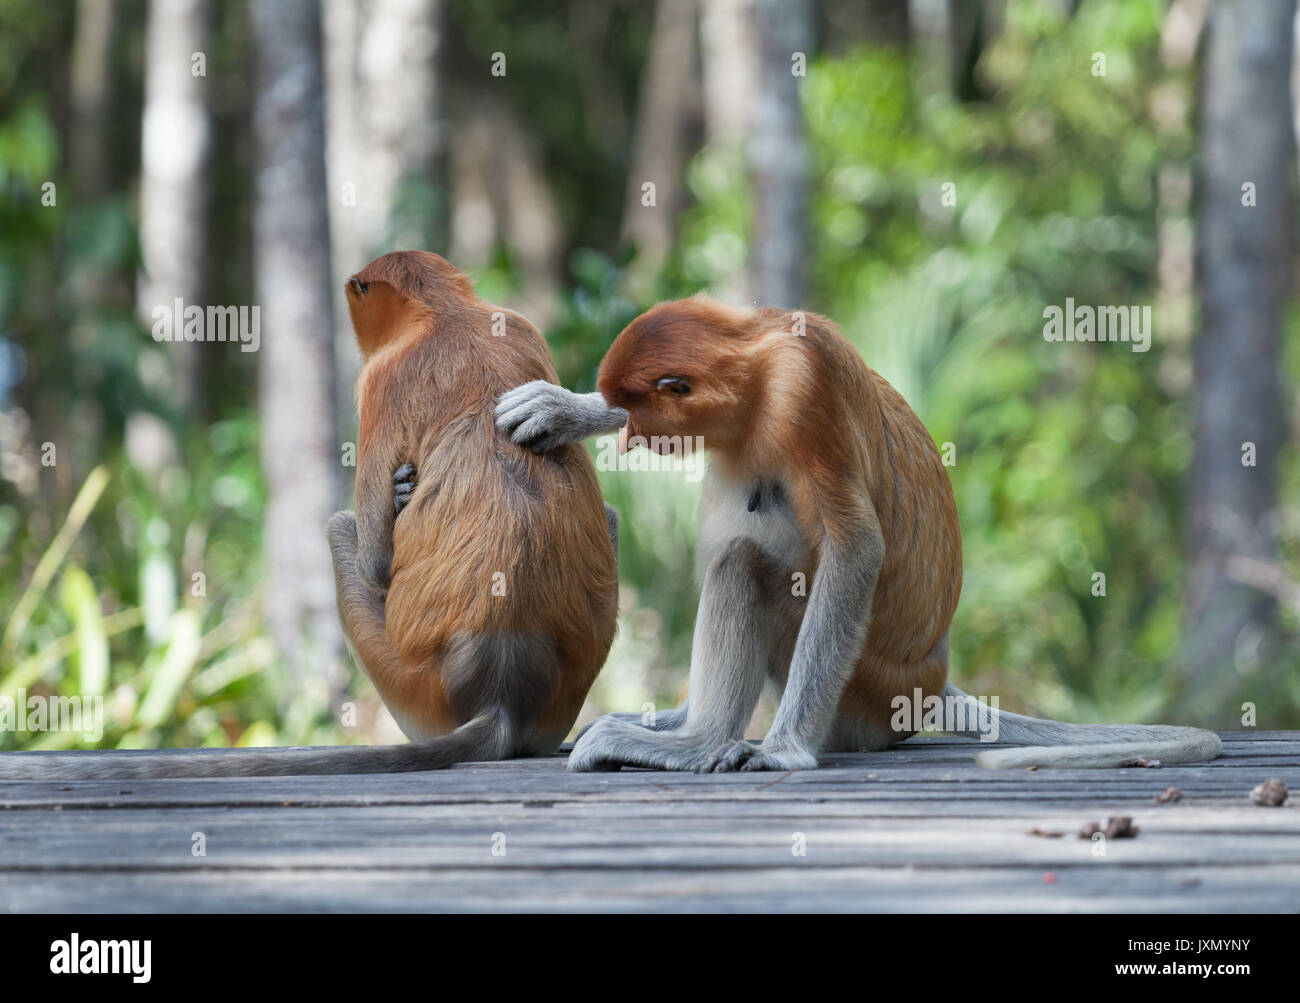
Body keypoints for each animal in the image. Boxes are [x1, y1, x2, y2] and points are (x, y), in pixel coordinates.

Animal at [1, 251, 619, 780]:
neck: (444, 314)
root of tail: (500, 693)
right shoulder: (518, 325)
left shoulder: (379, 380)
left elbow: (373, 562)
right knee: (609, 515)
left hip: (411, 685)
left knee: (338, 527)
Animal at [494, 297, 1223, 772]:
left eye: (643, 414)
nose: (629, 438)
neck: (756, 371)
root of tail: (930, 679)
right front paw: (561, 409)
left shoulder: (805, 392)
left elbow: (855, 549)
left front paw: (781, 752)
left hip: (859, 691)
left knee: (744, 563)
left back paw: (692, 740)